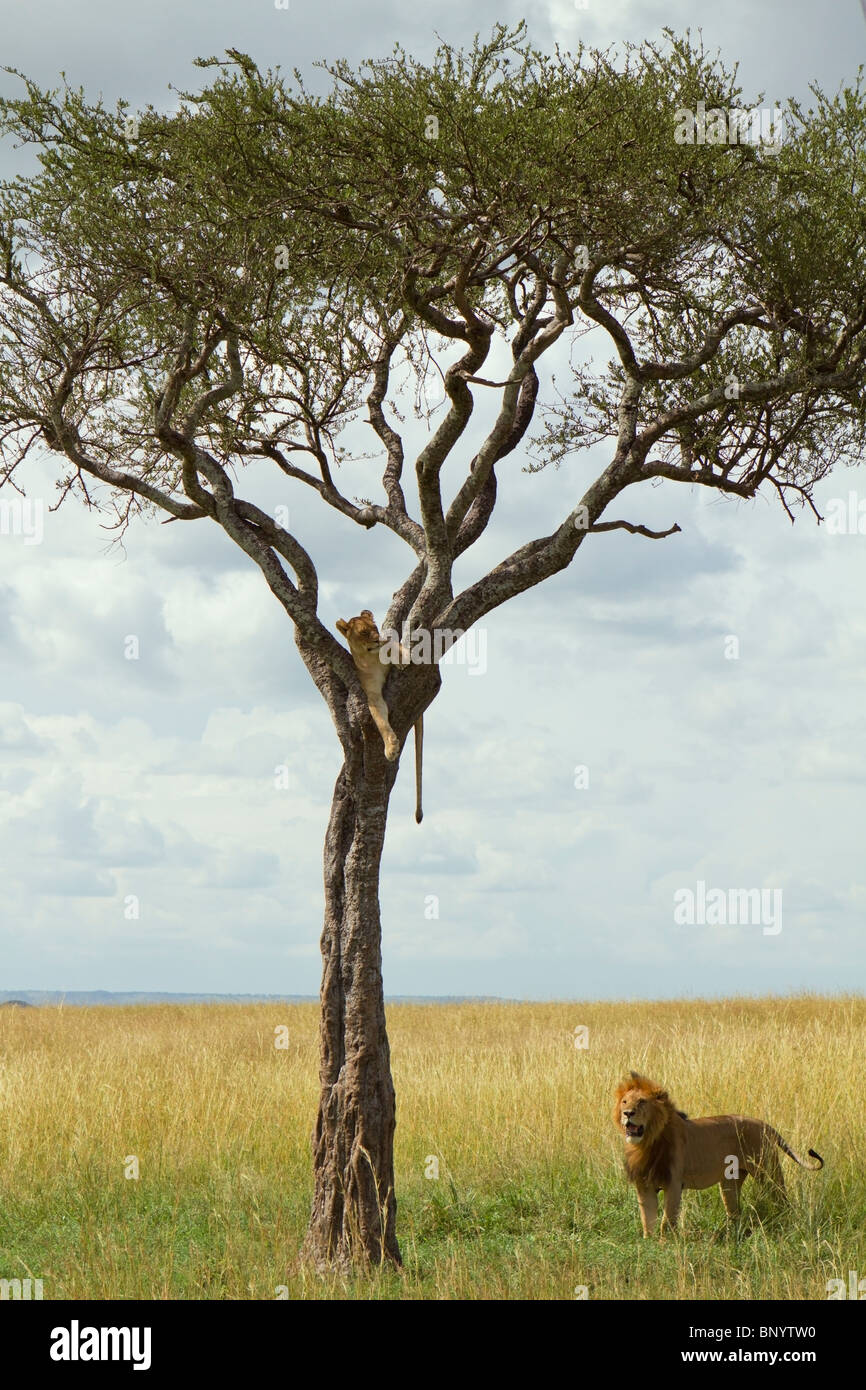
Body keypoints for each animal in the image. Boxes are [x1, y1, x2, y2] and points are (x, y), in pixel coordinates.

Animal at [336, 609, 423, 823]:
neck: (371, 658)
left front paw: (390, 646)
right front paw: (391, 747)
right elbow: (382, 722)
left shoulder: (397, 652)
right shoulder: (373, 696)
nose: (377, 638)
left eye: (375, 628)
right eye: (364, 632)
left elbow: (396, 650)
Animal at [613, 1071, 823, 1236]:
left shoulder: (673, 1183)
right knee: (734, 1213)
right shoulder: (644, 1185)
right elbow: (647, 1221)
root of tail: (764, 1124)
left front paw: (665, 1246)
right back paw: (731, 1237)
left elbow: (667, 1221)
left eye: (642, 1102)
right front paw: (648, 1245)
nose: (627, 1113)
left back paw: (785, 1224)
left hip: (768, 1171)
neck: (646, 1142)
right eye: (624, 1101)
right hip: (730, 1181)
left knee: (782, 1199)